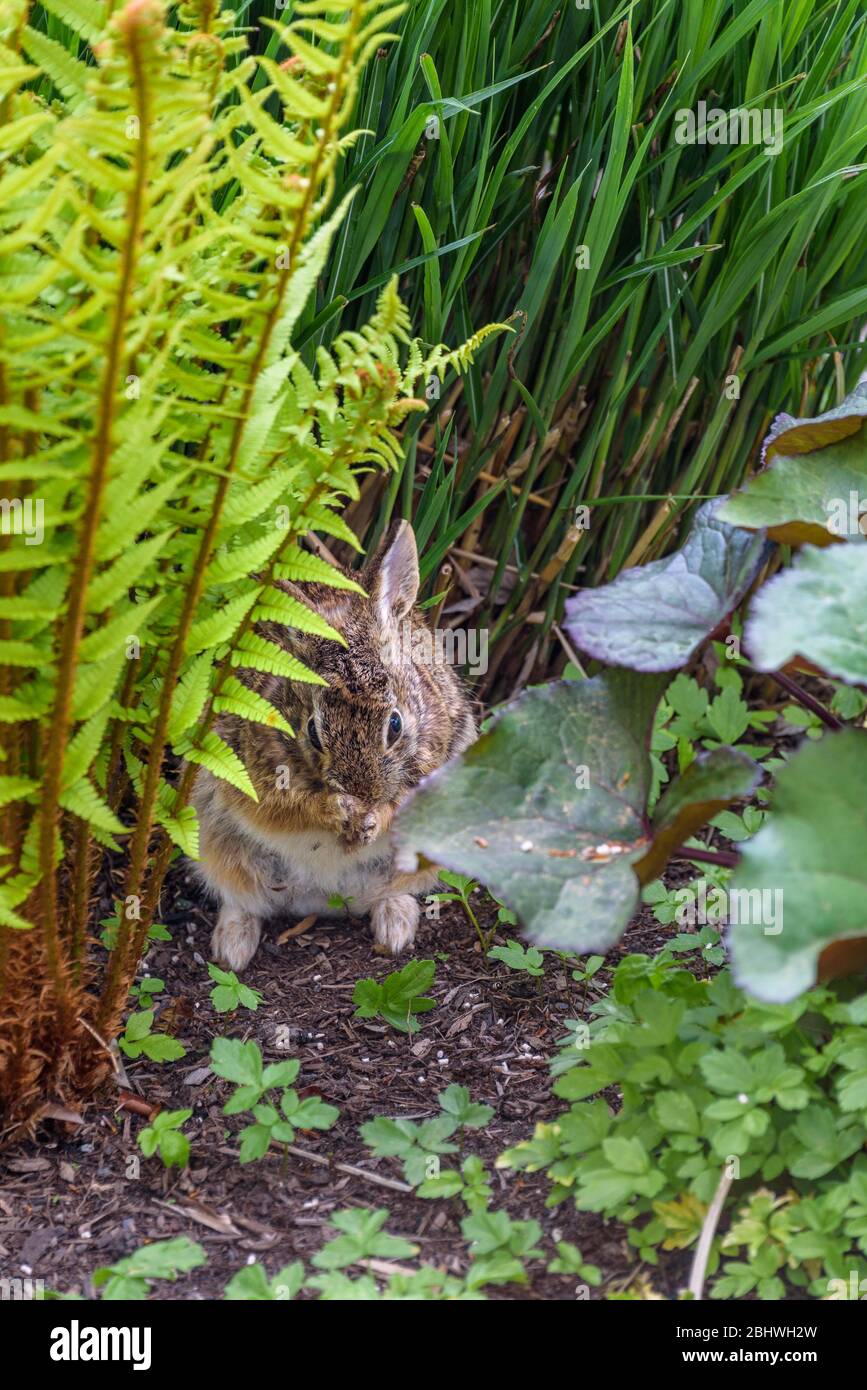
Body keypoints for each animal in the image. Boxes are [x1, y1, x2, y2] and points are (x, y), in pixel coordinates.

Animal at [191, 520, 477, 972]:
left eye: (395, 724)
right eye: (312, 732)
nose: (363, 792)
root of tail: (321, 901)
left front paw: (374, 818)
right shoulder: (255, 772)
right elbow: (286, 810)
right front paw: (340, 811)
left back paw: (395, 926)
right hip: (213, 837)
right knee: (241, 898)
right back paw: (233, 948)